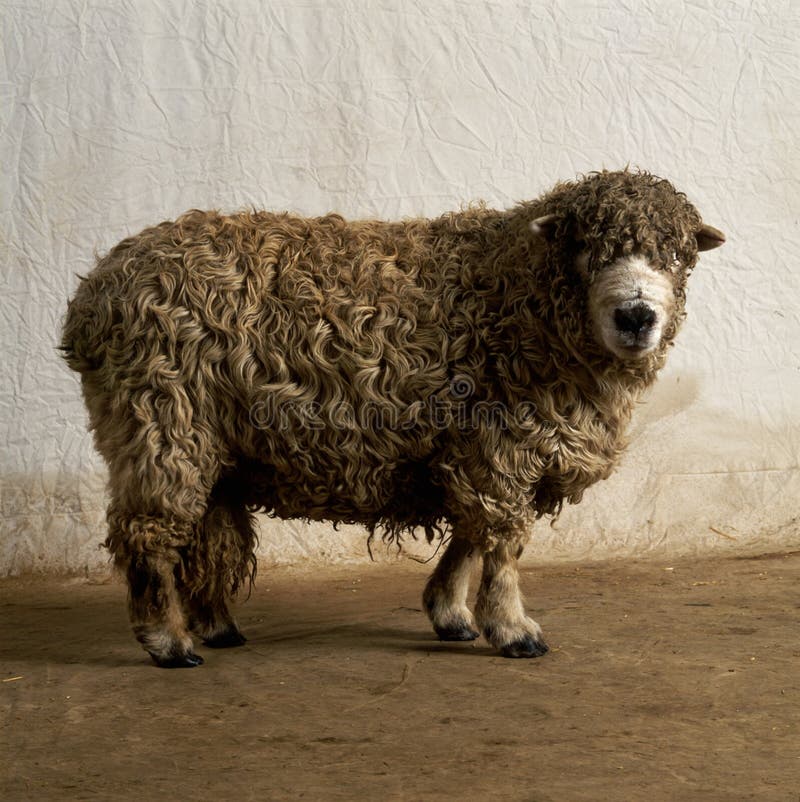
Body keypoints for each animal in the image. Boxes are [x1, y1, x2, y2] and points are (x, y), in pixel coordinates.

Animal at [60, 169, 725, 667]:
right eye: (586, 250)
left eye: (675, 255)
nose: (636, 316)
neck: (521, 296)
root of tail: (94, 294)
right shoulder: (501, 445)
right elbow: (501, 546)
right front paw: (513, 629)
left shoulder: (469, 448)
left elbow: (468, 538)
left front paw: (450, 612)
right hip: (160, 421)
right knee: (149, 533)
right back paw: (167, 642)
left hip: (211, 442)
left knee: (208, 532)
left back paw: (217, 625)